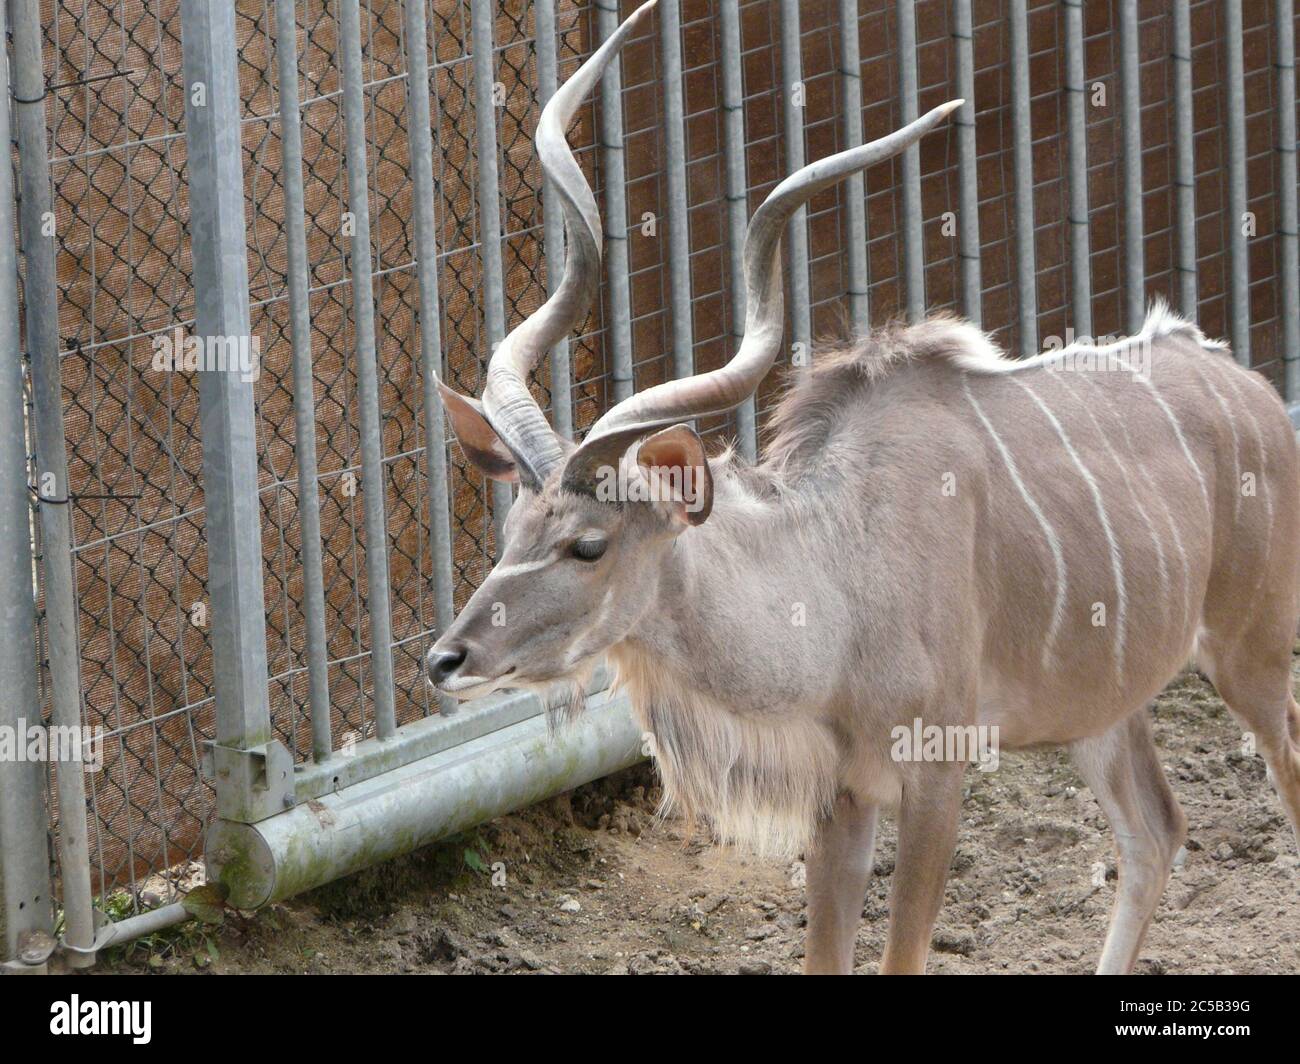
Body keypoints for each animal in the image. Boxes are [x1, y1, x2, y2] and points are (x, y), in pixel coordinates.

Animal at [428, 0, 1300, 974]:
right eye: (510, 531)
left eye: (589, 544)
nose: (446, 661)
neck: (837, 581)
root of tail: (1250, 387)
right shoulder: (842, 796)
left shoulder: (938, 773)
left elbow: (903, 951)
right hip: (1105, 706)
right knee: (1156, 830)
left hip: (1252, 655)